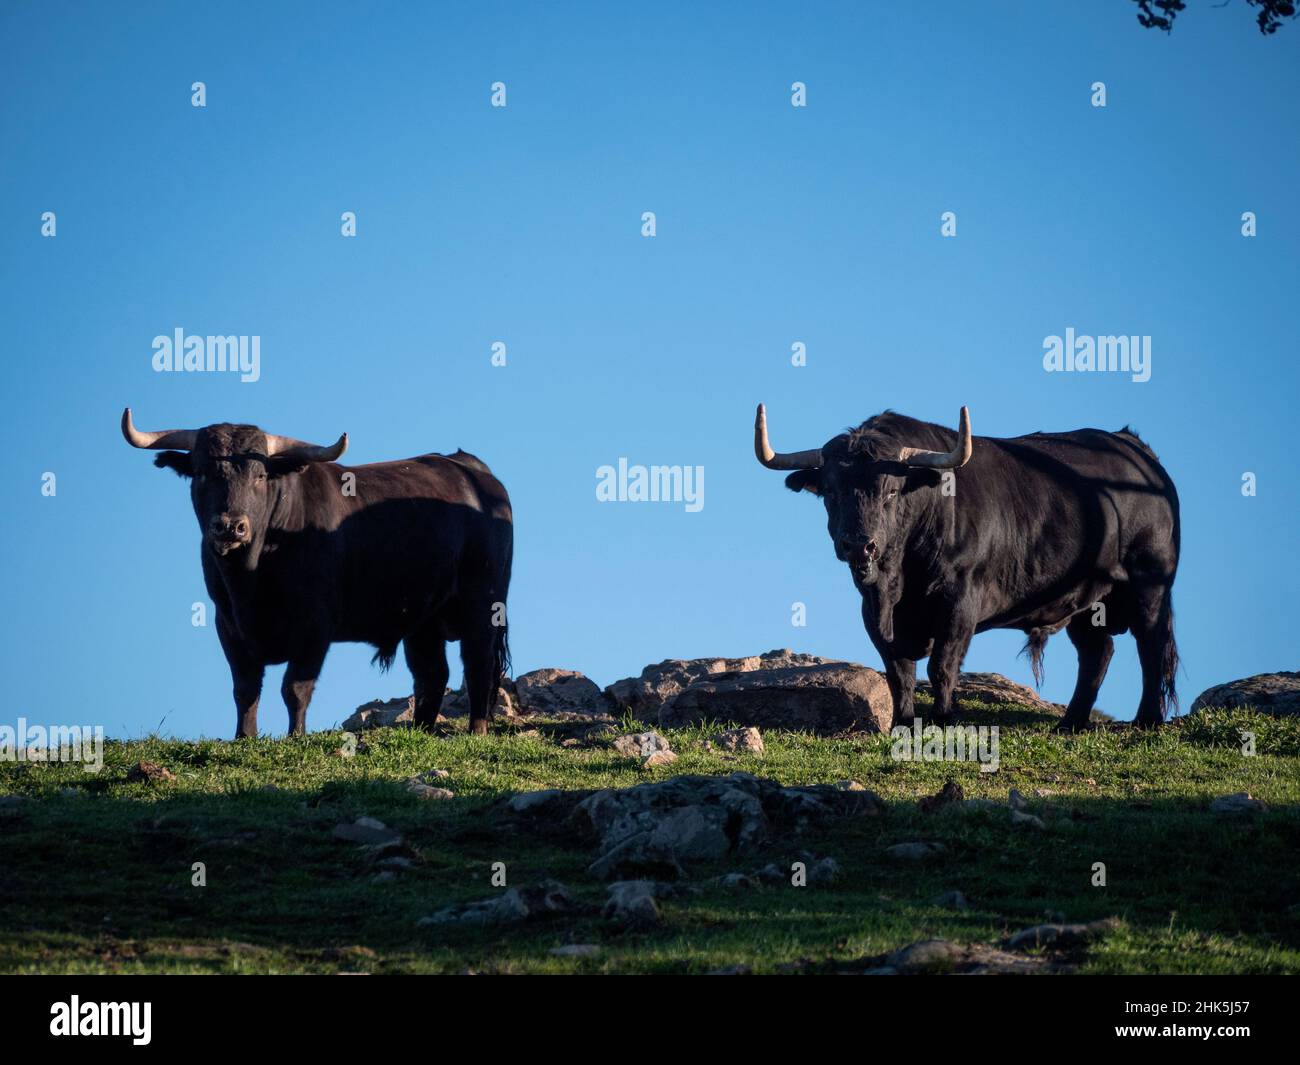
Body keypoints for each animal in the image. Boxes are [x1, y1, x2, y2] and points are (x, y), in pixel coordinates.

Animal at [122, 409, 512, 739]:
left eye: (259, 476)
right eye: (202, 473)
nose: (231, 527)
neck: (251, 578)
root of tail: (470, 470)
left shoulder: (314, 626)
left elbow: (295, 688)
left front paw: (296, 736)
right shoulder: (227, 625)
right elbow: (245, 689)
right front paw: (244, 737)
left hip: (483, 603)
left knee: (477, 665)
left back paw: (476, 731)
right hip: (423, 620)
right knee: (431, 674)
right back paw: (420, 732)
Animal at [753, 403, 1180, 730]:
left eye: (891, 490)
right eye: (830, 490)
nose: (859, 544)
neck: (898, 581)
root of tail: (1134, 447)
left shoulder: (961, 602)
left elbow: (941, 666)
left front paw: (944, 720)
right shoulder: (872, 609)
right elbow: (899, 670)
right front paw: (903, 723)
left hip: (1150, 583)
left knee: (1151, 644)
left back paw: (1147, 720)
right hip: (1086, 601)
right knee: (1097, 652)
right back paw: (1070, 723)